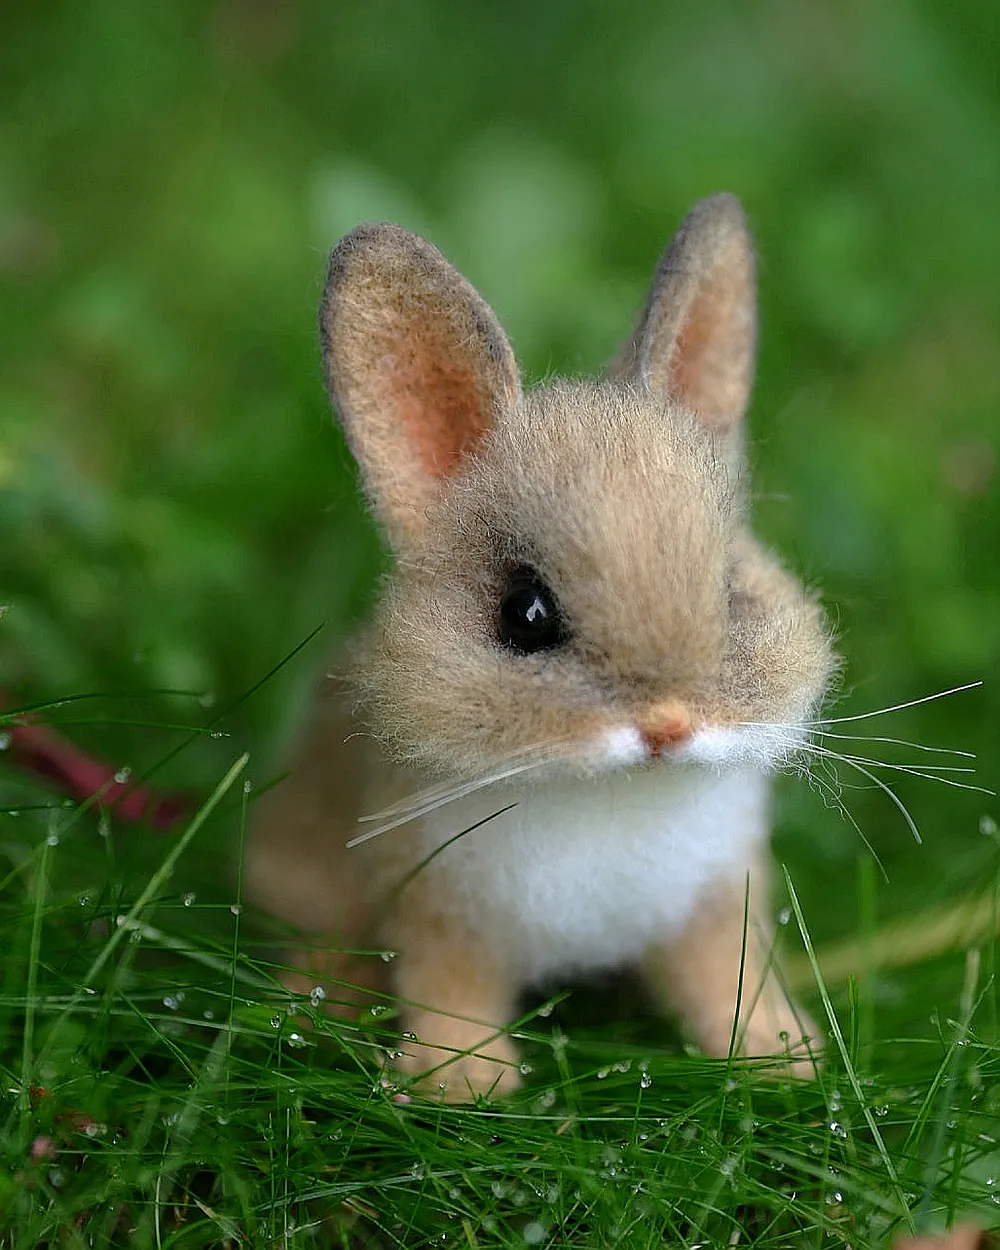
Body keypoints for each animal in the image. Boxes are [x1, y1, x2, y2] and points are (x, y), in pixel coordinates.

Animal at [245, 193, 836, 1101]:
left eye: (730, 592)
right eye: (524, 614)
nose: (666, 726)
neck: (607, 795)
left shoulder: (715, 902)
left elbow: (723, 982)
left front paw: (782, 1058)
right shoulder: (438, 910)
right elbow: (451, 994)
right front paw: (463, 1087)